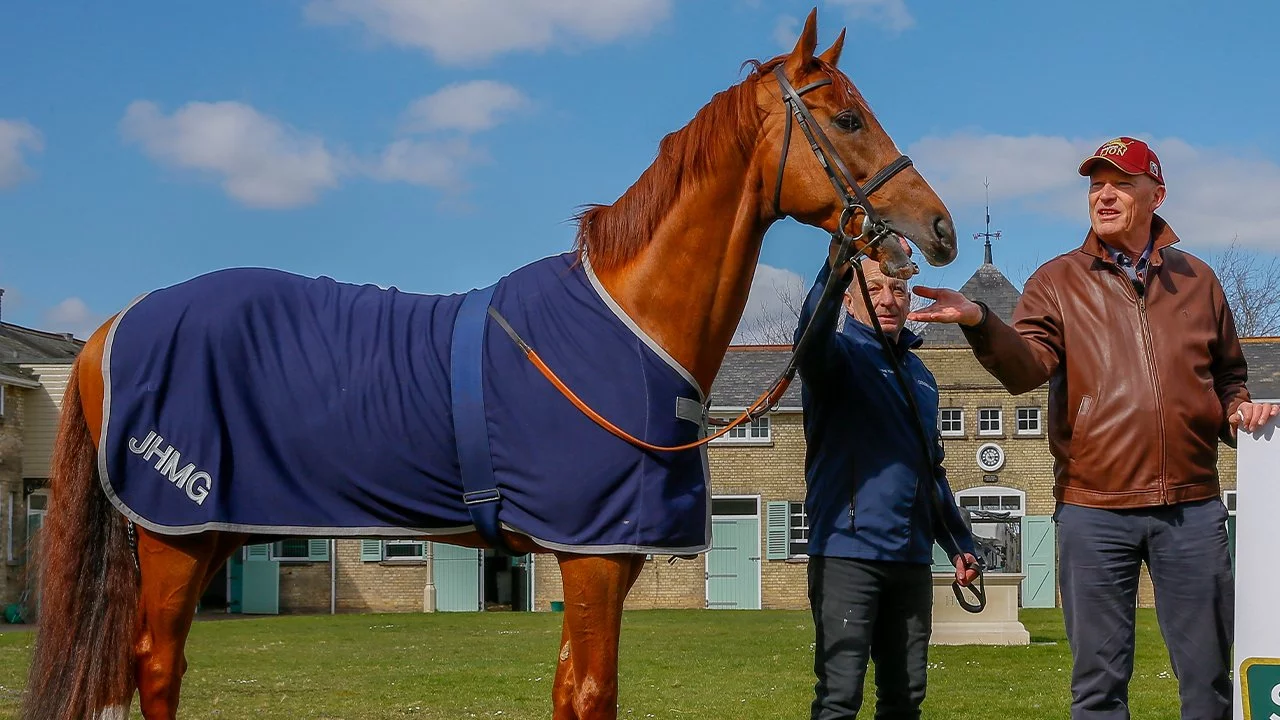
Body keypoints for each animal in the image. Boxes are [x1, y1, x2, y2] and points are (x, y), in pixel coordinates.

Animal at [21, 9, 958, 720]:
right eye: (847, 119)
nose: (939, 230)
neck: (629, 321)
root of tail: (113, 325)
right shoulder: (590, 556)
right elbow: (594, 694)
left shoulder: (598, 559)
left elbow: (568, 693)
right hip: (172, 537)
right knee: (155, 667)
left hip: (207, 531)